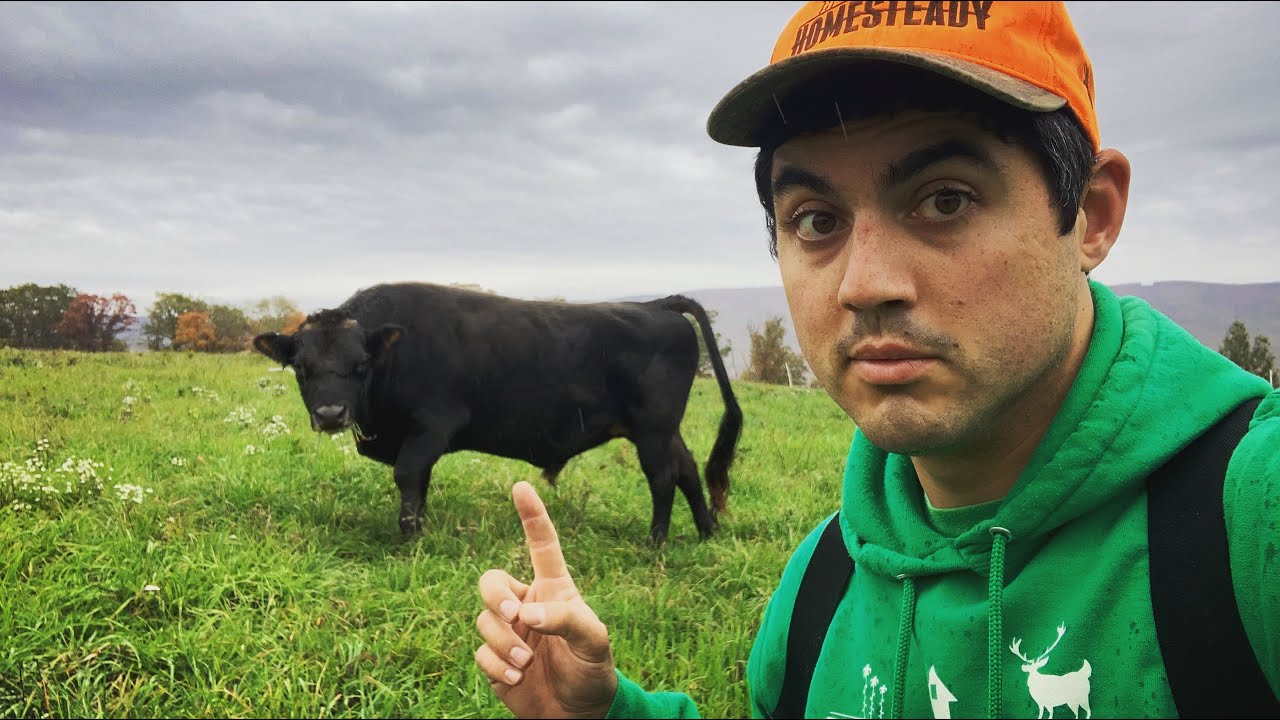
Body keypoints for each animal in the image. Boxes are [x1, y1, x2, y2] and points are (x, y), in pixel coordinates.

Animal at [251, 282, 743, 544]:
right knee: (688, 470)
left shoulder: (434, 424)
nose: (331, 413)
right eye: (302, 367)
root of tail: (656, 304)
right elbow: (420, 482)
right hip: (662, 428)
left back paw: (656, 542)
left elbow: (408, 474)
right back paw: (706, 532)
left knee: (663, 476)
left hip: (652, 427)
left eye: (360, 365)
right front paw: (419, 526)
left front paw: (407, 536)